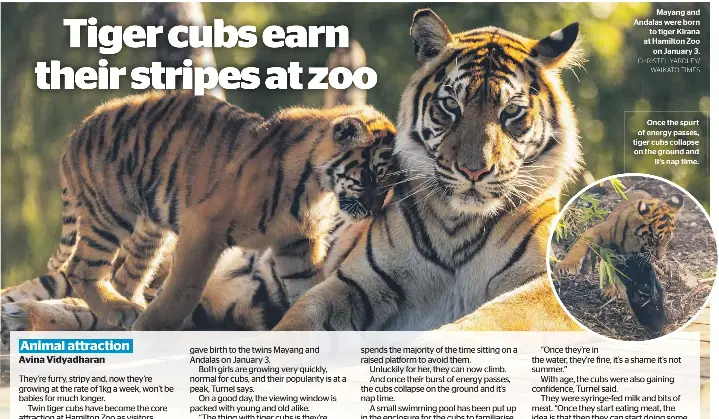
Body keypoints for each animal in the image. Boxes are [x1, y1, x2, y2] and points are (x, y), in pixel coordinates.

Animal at [0, 91, 398, 331]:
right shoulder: (205, 227)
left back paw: (124, 310)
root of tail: (79, 130)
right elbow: (185, 290)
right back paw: (123, 312)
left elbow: (307, 288)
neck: (316, 186)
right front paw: (154, 327)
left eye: (389, 183)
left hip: (148, 234)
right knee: (82, 269)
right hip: (110, 213)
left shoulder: (296, 243)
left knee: (123, 277)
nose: (373, 211)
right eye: (369, 176)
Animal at [272, 9, 584, 331]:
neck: (458, 228)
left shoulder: (543, 283)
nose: (474, 171)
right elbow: (299, 317)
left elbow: (495, 318)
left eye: (510, 111)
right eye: (451, 105)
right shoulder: (358, 279)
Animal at [553, 190, 684, 276]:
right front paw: (565, 266)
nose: (659, 257)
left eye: (668, 241)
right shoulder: (597, 230)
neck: (634, 240)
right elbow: (578, 246)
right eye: (654, 240)